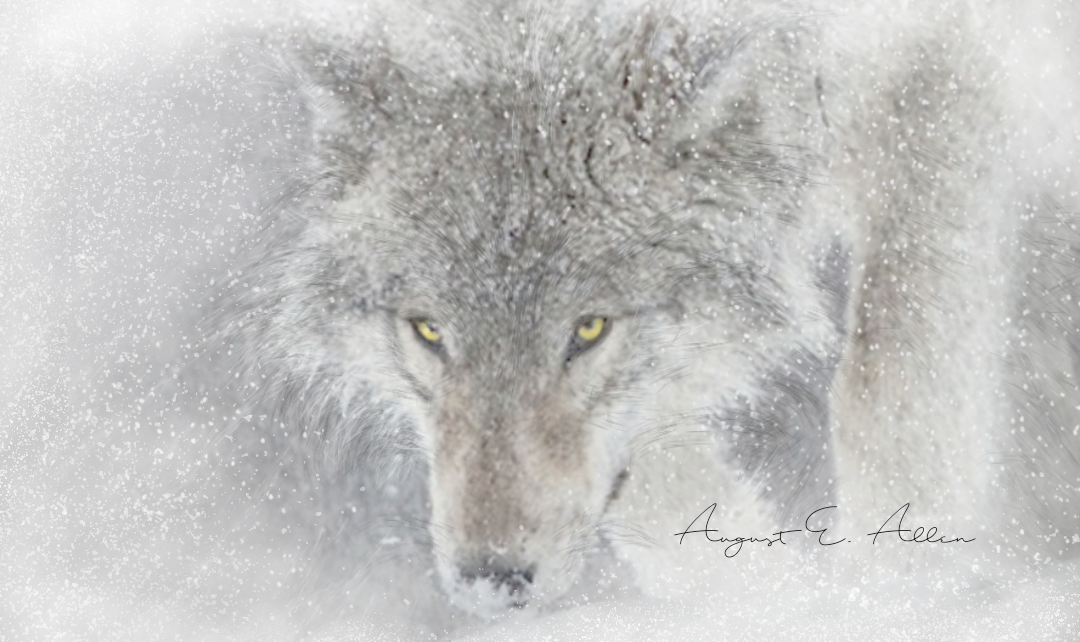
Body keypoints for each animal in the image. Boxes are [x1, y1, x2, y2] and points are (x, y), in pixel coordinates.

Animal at [221, 0, 1080, 618]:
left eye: (589, 329)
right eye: (430, 330)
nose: (491, 582)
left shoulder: (938, 71)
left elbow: (894, 386)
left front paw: (902, 584)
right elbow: (672, 495)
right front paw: (774, 599)